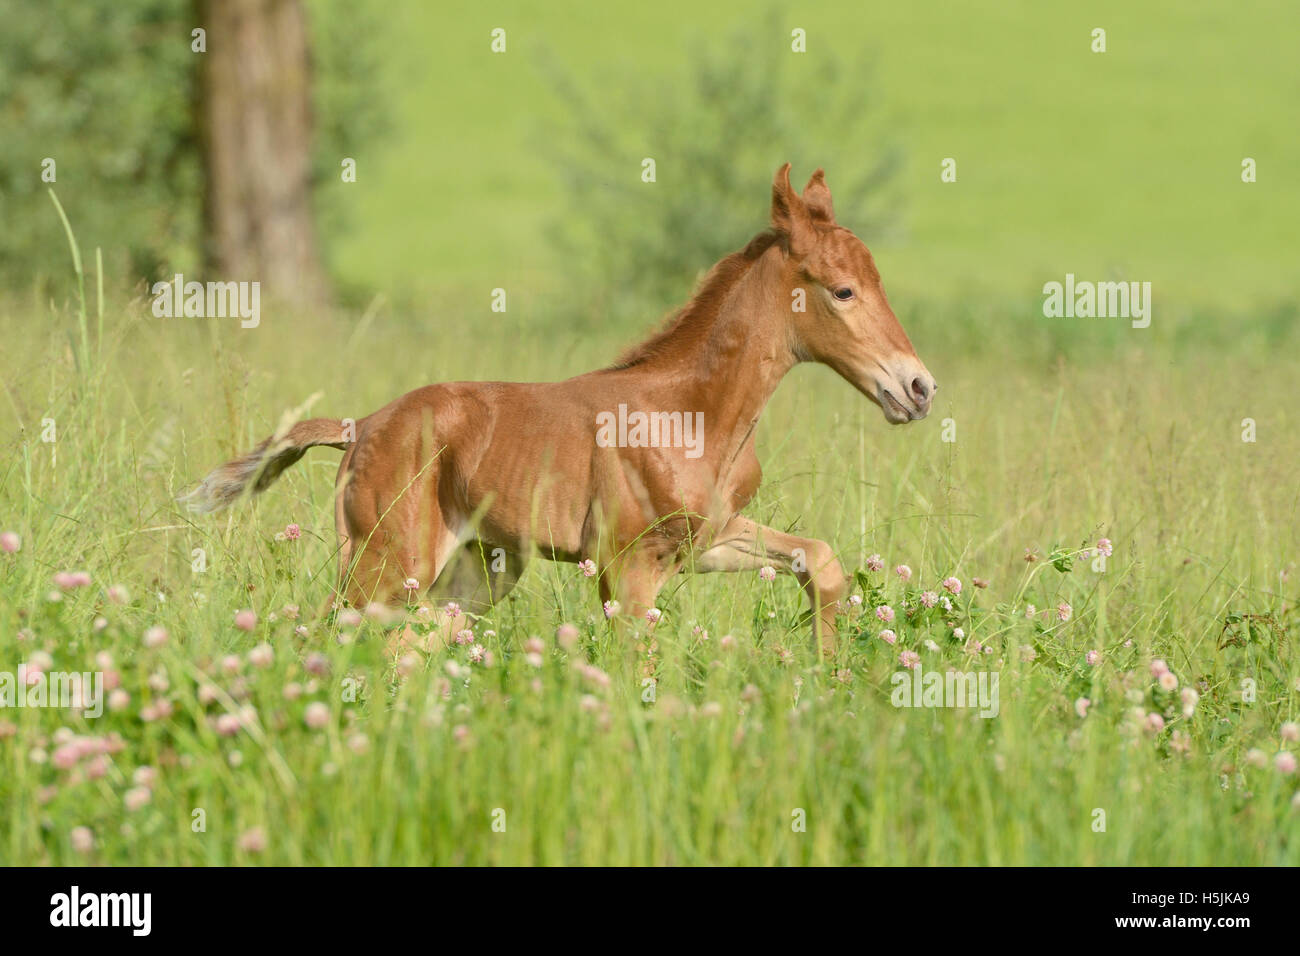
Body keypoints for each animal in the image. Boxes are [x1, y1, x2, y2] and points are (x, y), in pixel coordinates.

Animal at [182, 164, 936, 655]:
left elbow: (821, 561)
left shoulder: (706, 541)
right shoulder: (625, 565)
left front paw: (829, 676)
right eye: (842, 290)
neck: (691, 413)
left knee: (413, 647)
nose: (919, 388)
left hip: (475, 569)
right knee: (332, 632)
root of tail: (359, 427)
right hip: (388, 562)